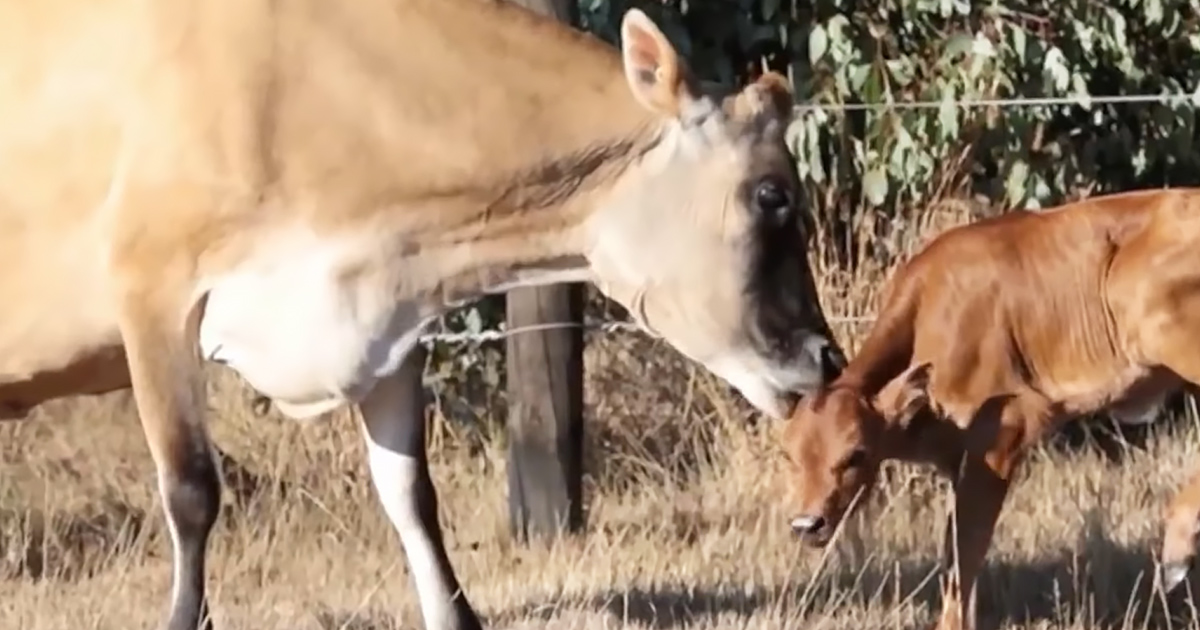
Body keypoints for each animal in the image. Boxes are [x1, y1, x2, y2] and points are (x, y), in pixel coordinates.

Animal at [0, 1, 847, 629]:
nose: (826, 357)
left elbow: (411, 493)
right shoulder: (152, 290)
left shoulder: (388, 321)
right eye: (772, 196)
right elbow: (190, 491)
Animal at [778, 187, 1200, 630]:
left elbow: (965, 547)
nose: (806, 523)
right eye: (789, 456)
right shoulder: (958, 458)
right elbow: (958, 550)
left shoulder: (1002, 433)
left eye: (857, 454)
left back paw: (1176, 551)